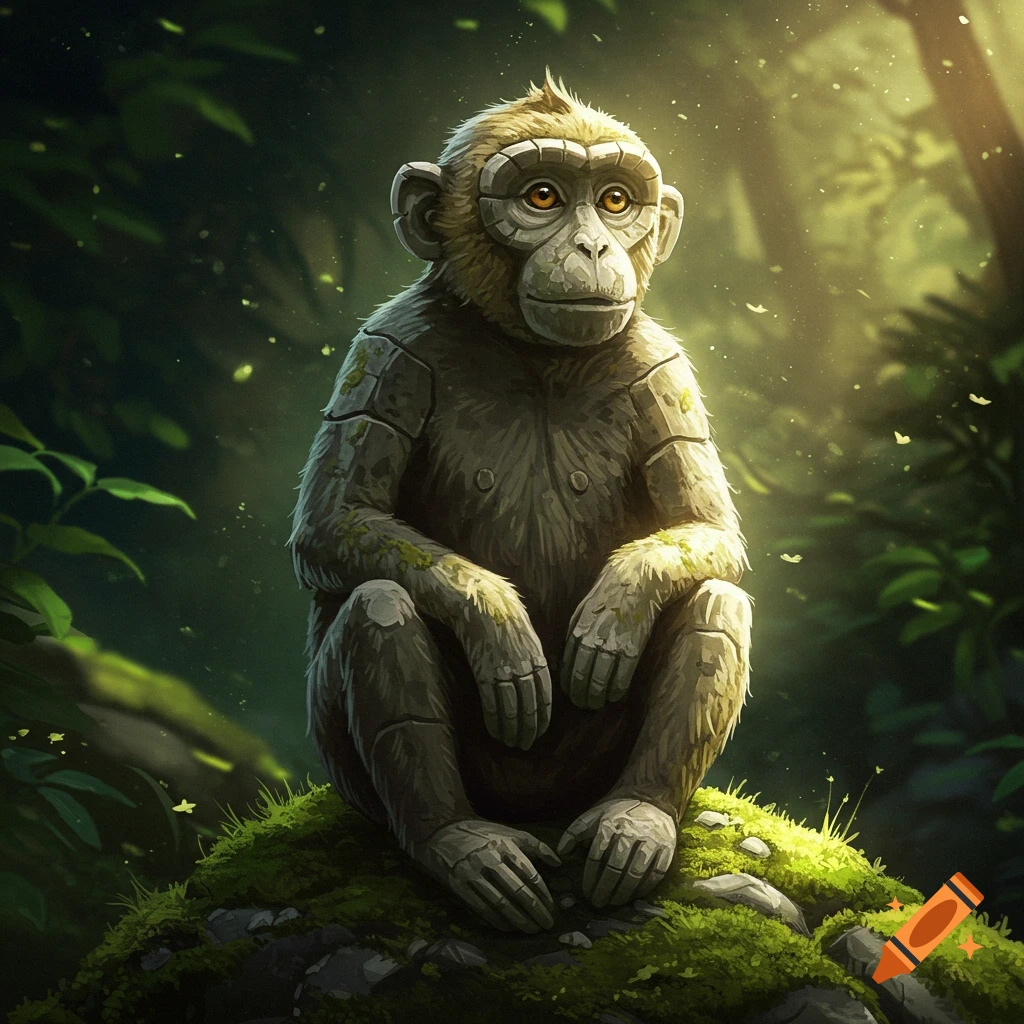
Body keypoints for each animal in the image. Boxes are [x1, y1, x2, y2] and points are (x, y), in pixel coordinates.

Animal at [288, 72, 752, 935]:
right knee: (379, 605)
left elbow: (709, 533)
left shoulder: (662, 365)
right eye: (542, 196)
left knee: (714, 598)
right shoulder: (392, 348)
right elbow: (334, 525)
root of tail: (538, 809)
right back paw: (462, 846)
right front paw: (498, 623)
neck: (534, 356)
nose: (595, 247)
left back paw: (635, 821)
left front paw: (615, 608)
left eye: (614, 201)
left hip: (587, 772)